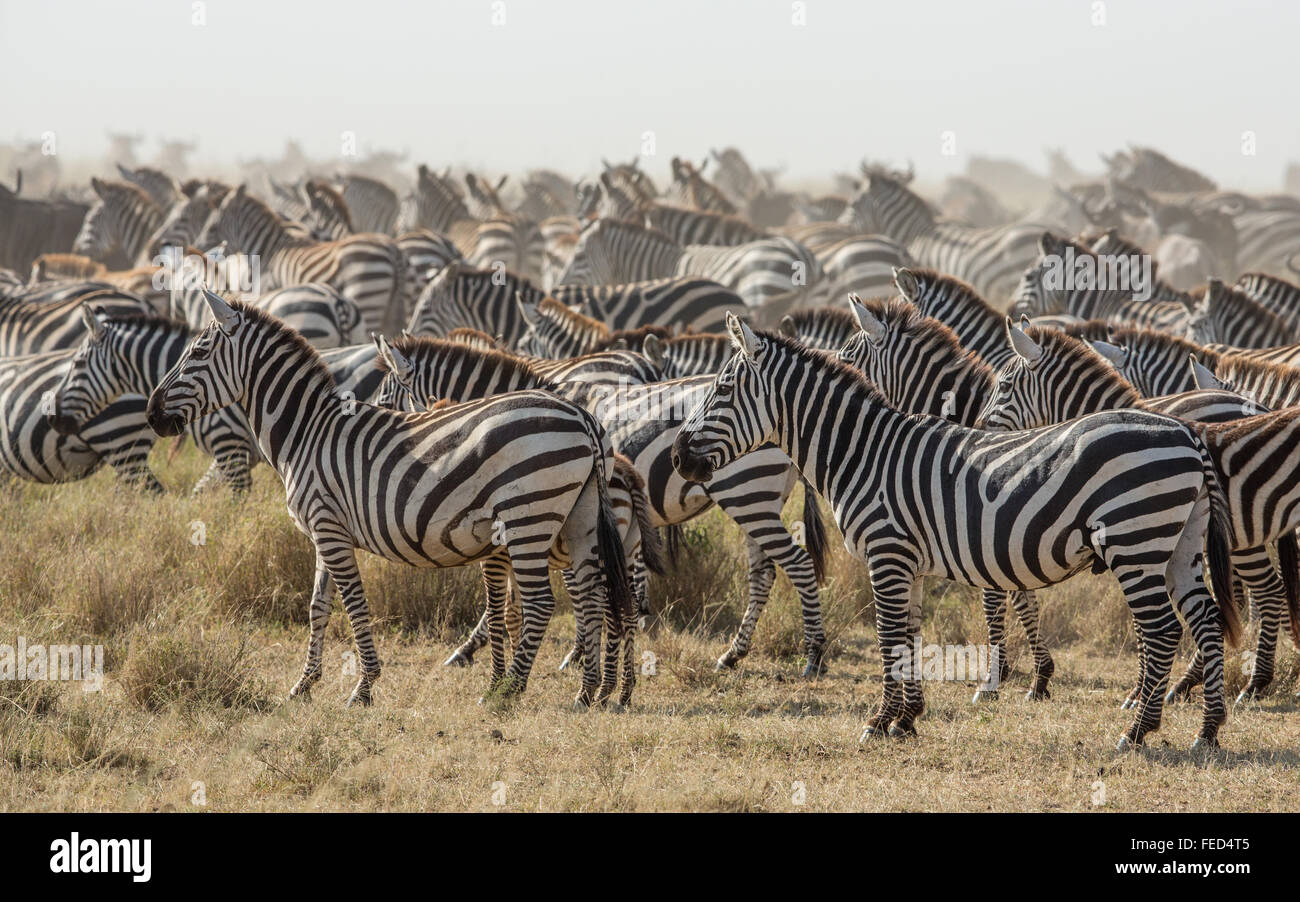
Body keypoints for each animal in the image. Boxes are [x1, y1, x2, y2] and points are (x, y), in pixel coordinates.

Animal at [145, 290, 635, 708]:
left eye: (197, 353)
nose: (151, 414)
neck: (306, 431)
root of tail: (581, 415)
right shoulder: (326, 531)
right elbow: (318, 607)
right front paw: (304, 684)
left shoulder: (330, 528)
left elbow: (355, 604)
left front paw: (363, 686)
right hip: (578, 519)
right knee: (593, 595)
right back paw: (589, 692)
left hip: (528, 519)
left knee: (540, 604)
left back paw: (507, 693)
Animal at [197, 184, 406, 337]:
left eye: (212, 227)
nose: (199, 249)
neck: (269, 250)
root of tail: (394, 249)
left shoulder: (267, 290)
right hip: (392, 311)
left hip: (367, 298)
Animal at [368, 334, 832, 676]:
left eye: (386, 404)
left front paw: (483, 648)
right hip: (759, 500)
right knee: (764, 573)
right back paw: (733, 654)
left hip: (746, 493)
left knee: (796, 564)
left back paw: (813, 655)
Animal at [672, 315, 1239, 749]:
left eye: (722, 388)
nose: (677, 457)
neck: (862, 452)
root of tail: (1185, 432)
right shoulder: (908, 561)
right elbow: (910, 632)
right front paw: (907, 719)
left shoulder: (885, 551)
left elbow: (888, 635)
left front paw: (880, 721)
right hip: (1178, 546)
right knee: (1206, 620)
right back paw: (1208, 731)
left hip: (1135, 539)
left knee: (1162, 630)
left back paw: (1137, 731)